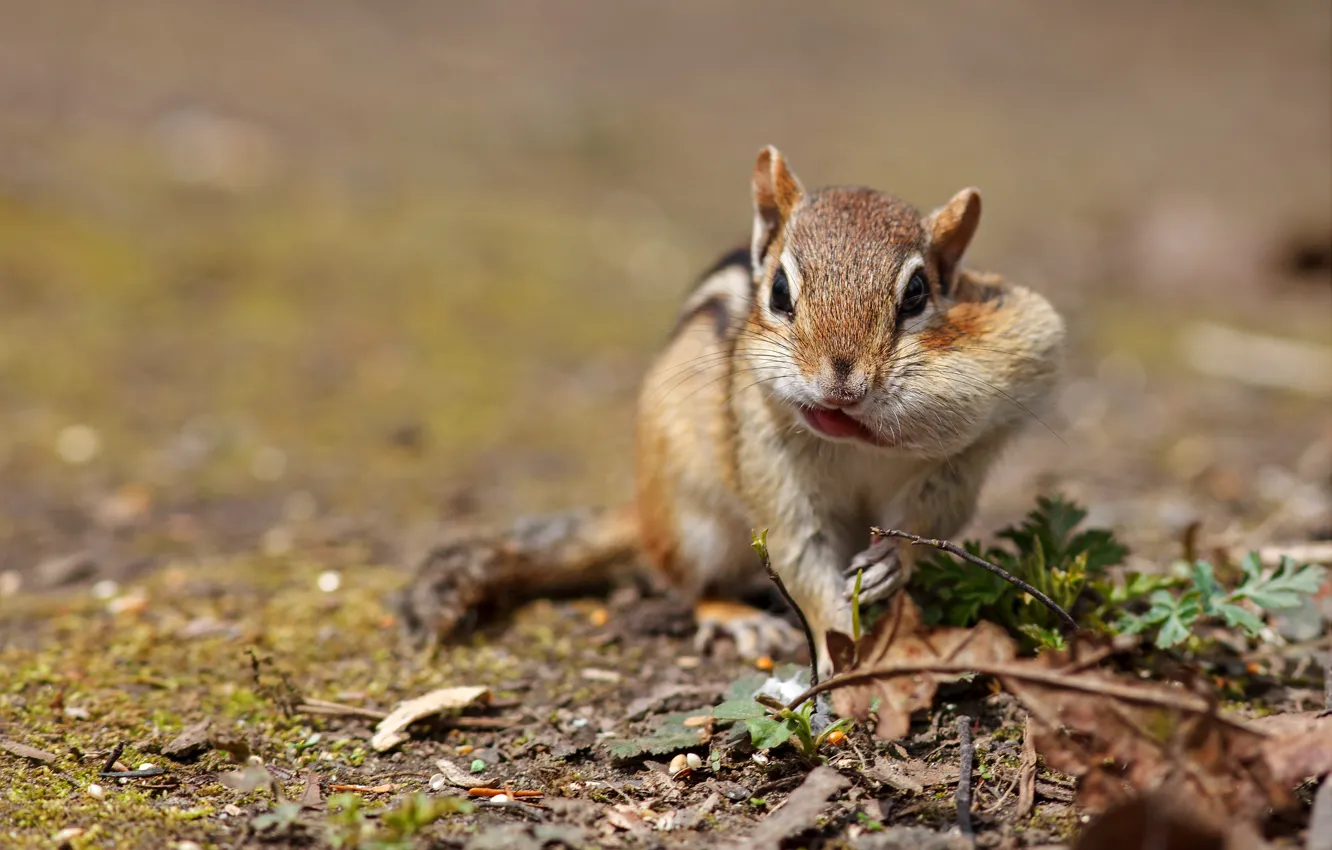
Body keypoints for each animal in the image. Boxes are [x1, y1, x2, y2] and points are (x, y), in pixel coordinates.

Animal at [394, 146, 1065, 679]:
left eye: (919, 293)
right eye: (779, 292)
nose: (841, 385)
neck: (858, 443)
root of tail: (645, 513)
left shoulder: (967, 453)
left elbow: (929, 521)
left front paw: (891, 564)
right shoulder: (769, 456)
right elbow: (798, 552)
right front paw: (838, 648)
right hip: (695, 522)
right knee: (692, 584)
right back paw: (738, 617)